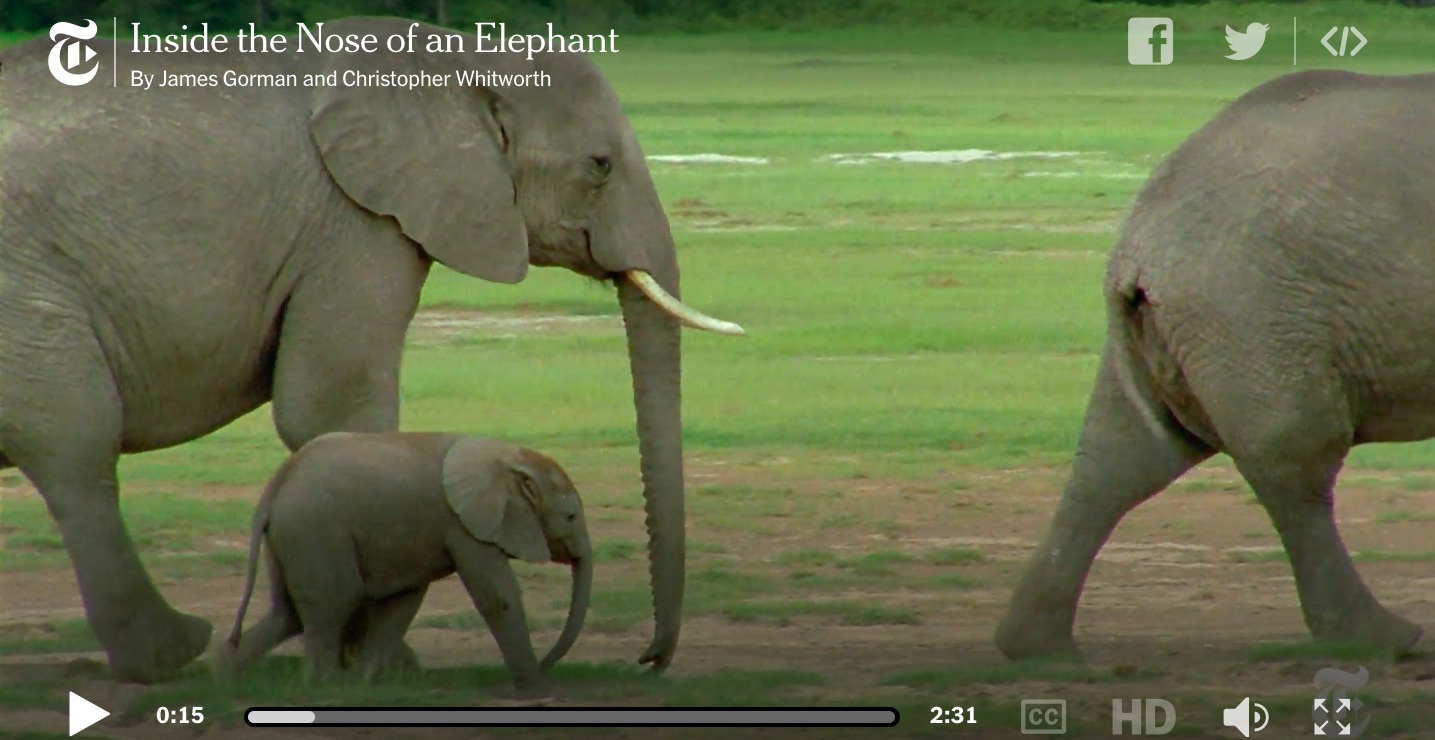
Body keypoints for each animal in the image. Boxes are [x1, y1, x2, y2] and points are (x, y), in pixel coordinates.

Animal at [214, 432, 590, 696]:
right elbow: (498, 598)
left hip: (291, 538)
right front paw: (538, 693)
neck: (509, 457)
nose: (548, 666)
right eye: (571, 516)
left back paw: (228, 679)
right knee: (334, 602)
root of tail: (273, 489)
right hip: (313, 531)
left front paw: (371, 683)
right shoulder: (466, 526)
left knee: (287, 613)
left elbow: (401, 603)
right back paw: (324, 685)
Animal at [996, 69, 1434, 661]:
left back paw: (1037, 648)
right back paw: (1384, 639)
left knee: (1121, 458)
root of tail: (1135, 241)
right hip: (1250, 311)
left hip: (1195, 322)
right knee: (1296, 459)